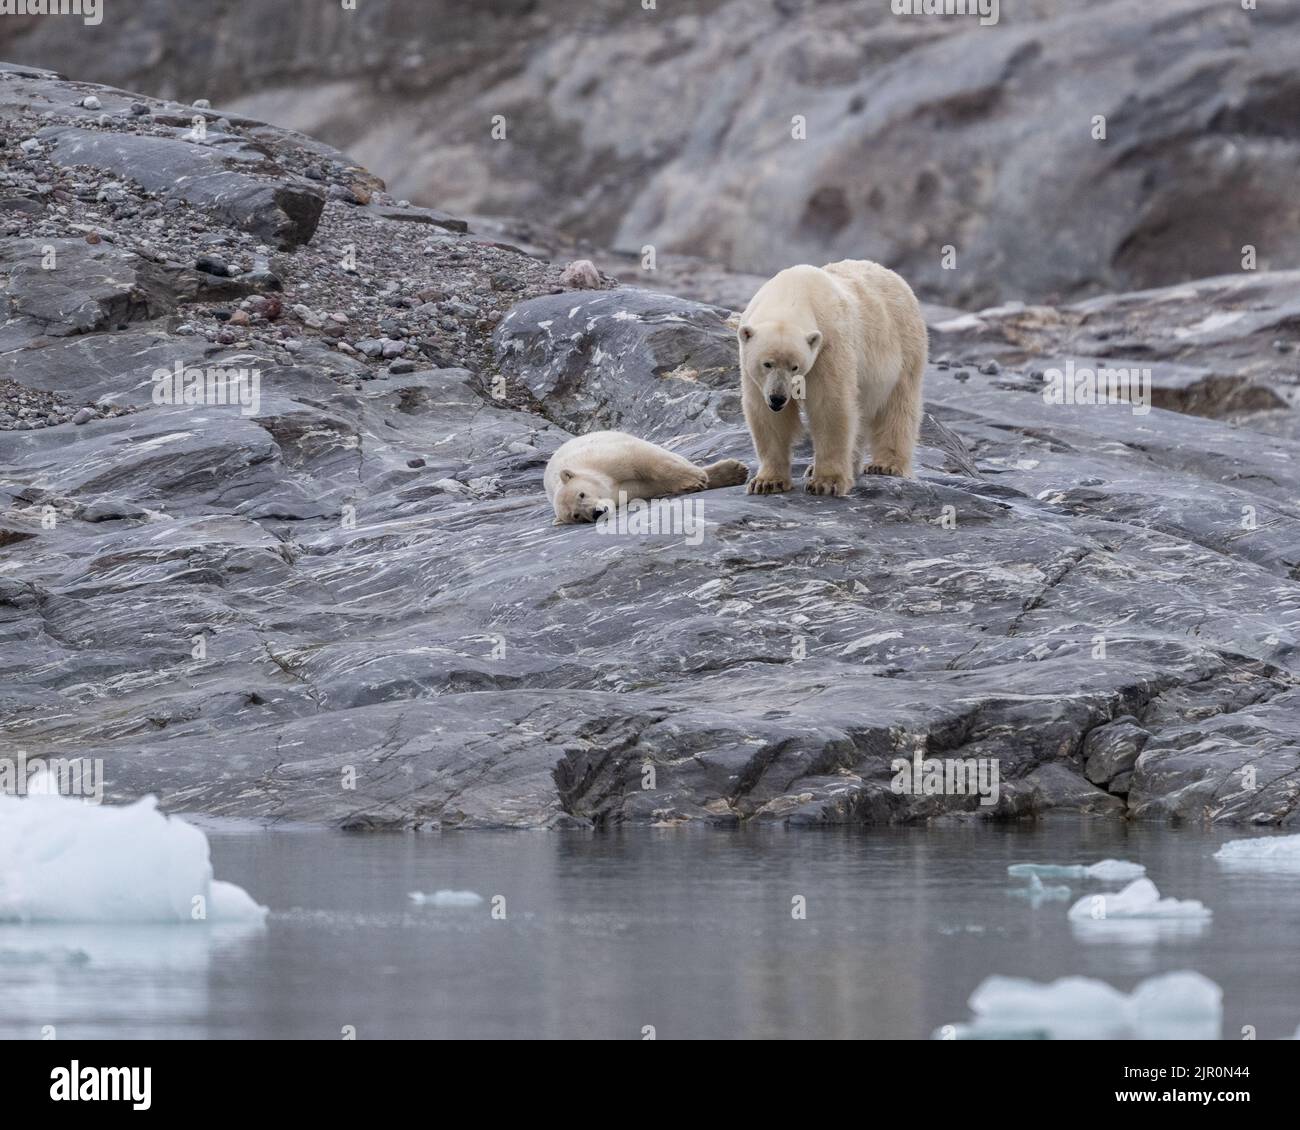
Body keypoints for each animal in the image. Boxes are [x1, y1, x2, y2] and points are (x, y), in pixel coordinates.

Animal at [544, 430, 749, 524]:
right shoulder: (629, 491)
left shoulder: (599, 458)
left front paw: (694, 479)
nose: (596, 512)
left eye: (581, 494)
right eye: (576, 515)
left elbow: (643, 458)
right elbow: (654, 485)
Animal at [737, 259, 927, 497]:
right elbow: (767, 416)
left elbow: (829, 405)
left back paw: (886, 464)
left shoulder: (829, 345)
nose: (778, 398)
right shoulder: (752, 370)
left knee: (897, 406)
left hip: (905, 344)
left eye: (795, 367)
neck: (793, 292)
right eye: (767, 364)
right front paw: (767, 482)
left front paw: (826, 482)